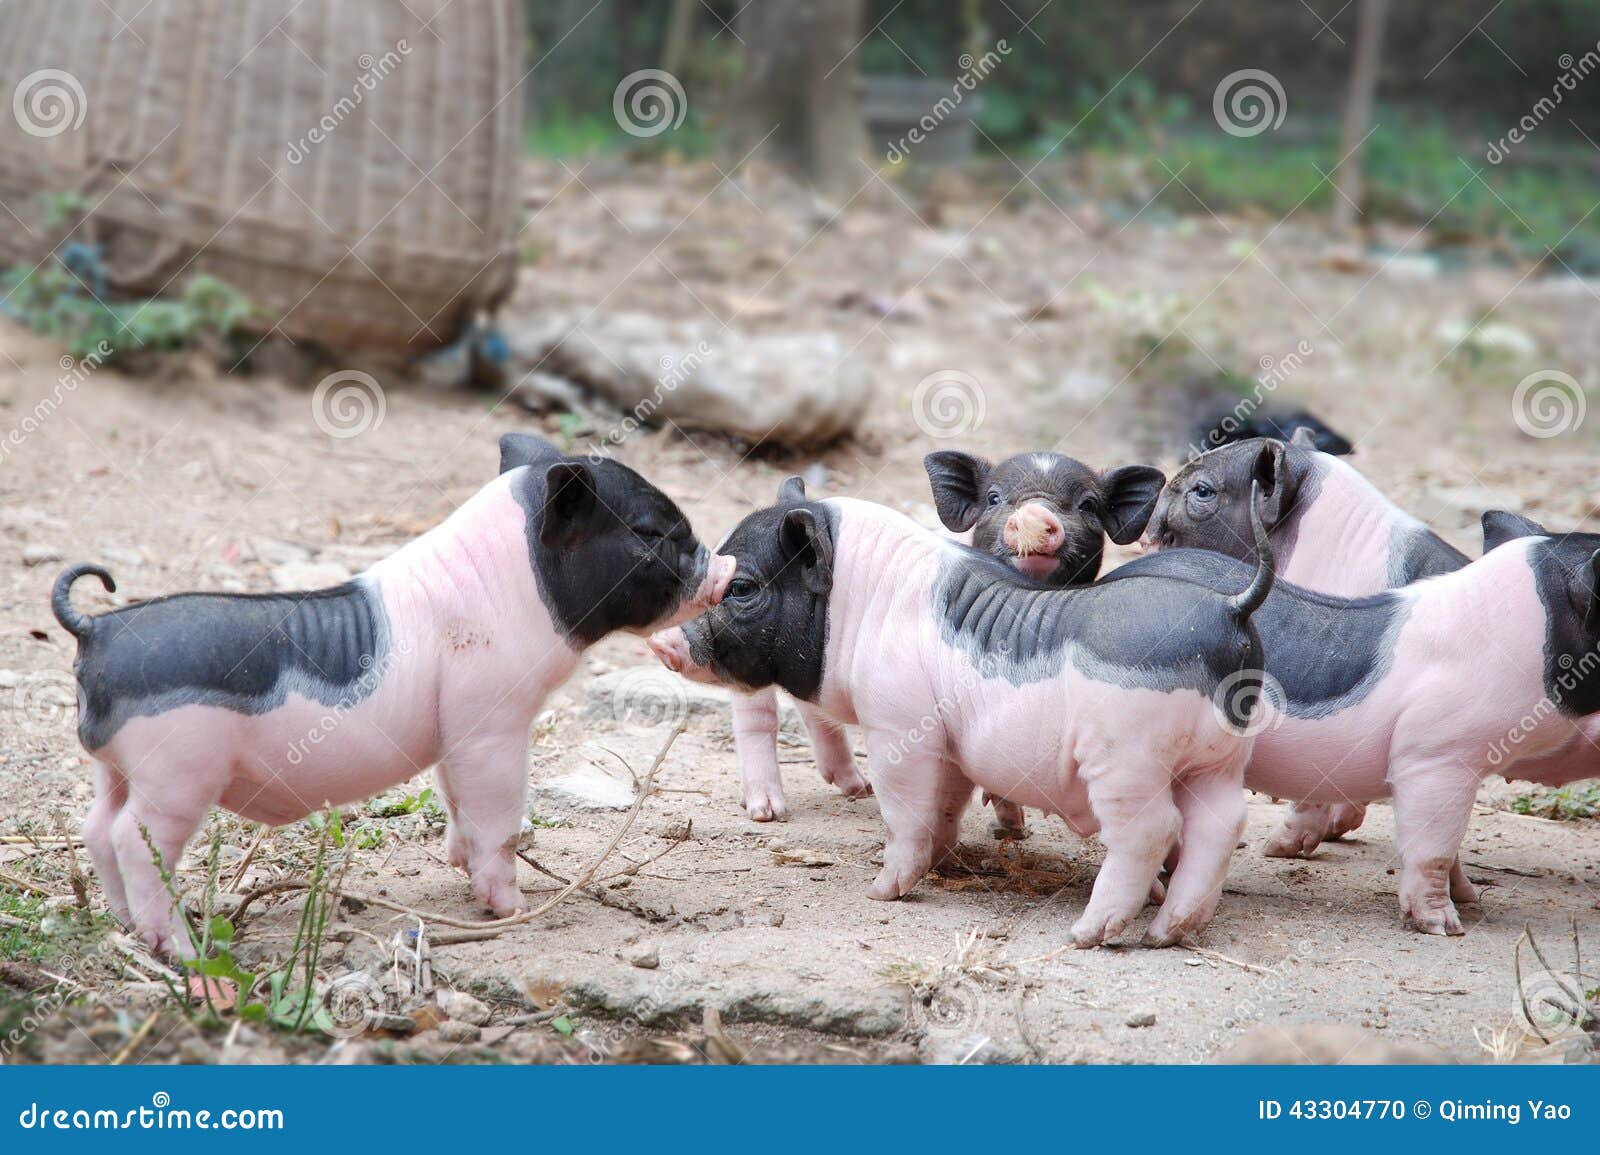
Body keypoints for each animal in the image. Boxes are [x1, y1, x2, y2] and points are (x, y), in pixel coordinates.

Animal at [56, 433, 732, 954]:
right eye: (650, 532)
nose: (724, 571)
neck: (517, 581)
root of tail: (98, 630)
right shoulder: (492, 722)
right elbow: (498, 814)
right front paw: (509, 910)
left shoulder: (454, 732)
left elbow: (456, 799)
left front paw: (459, 865)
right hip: (174, 773)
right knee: (133, 839)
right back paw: (180, 949)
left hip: (116, 767)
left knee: (96, 827)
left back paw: (123, 923)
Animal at [729, 452, 1165, 834]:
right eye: (995, 498)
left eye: (1087, 504)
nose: (1035, 515)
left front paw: (1015, 827)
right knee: (757, 715)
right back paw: (767, 810)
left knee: (813, 707)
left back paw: (857, 788)